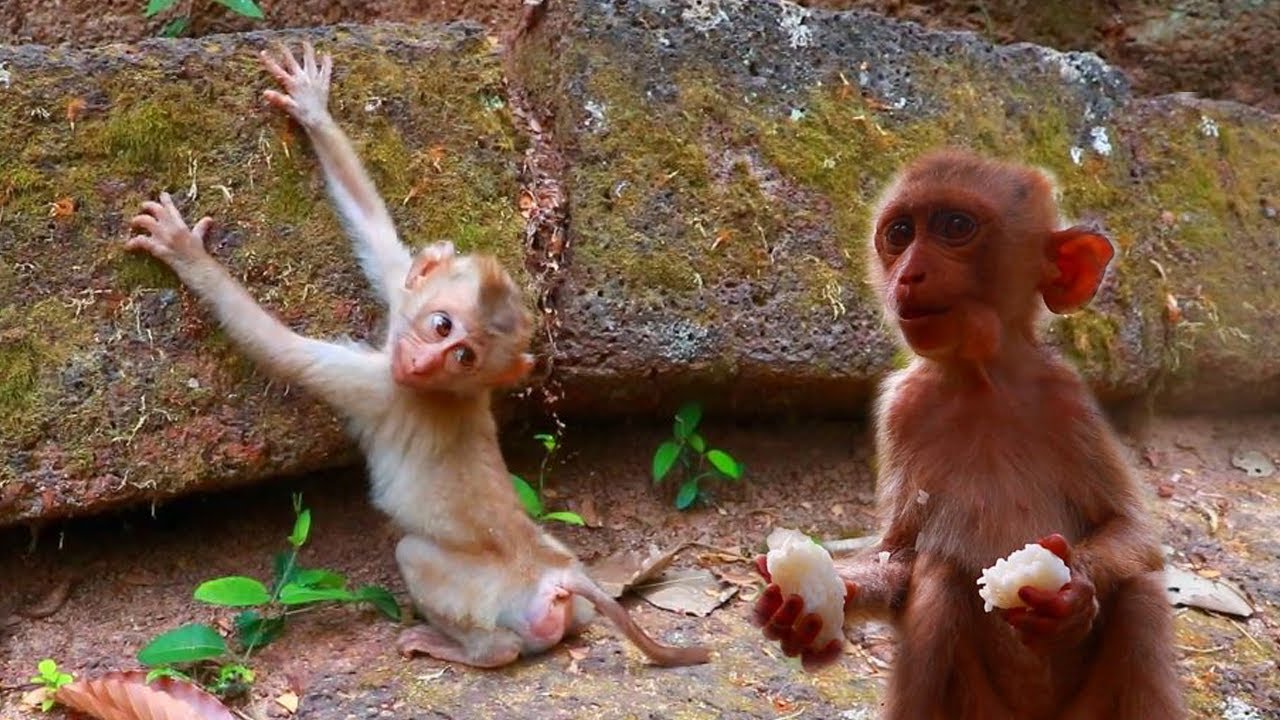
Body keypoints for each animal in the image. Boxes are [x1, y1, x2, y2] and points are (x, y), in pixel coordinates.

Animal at [124, 41, 709, 670]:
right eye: (441, 327)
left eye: (465, 357)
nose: (423, 364)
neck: (444, 388)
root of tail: (554, 577)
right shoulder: (401, 308)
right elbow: (376, 233)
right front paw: (313, 108)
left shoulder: (378, 386)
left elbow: (281, 349)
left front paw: (187, 253)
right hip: (565, 577)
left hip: (487, 598)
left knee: (423, 562)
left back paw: (469, 649)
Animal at [752, 149, 1184, 719]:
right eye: (900, 233)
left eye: (955, 226)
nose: (909, 274)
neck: (980, 382)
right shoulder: (902, 408)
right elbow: (902, 556)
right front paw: (811, 603)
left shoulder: (1068, 400)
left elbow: (1135, 533)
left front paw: (1072, 598)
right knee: (939, 581)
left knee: (1141, 594)